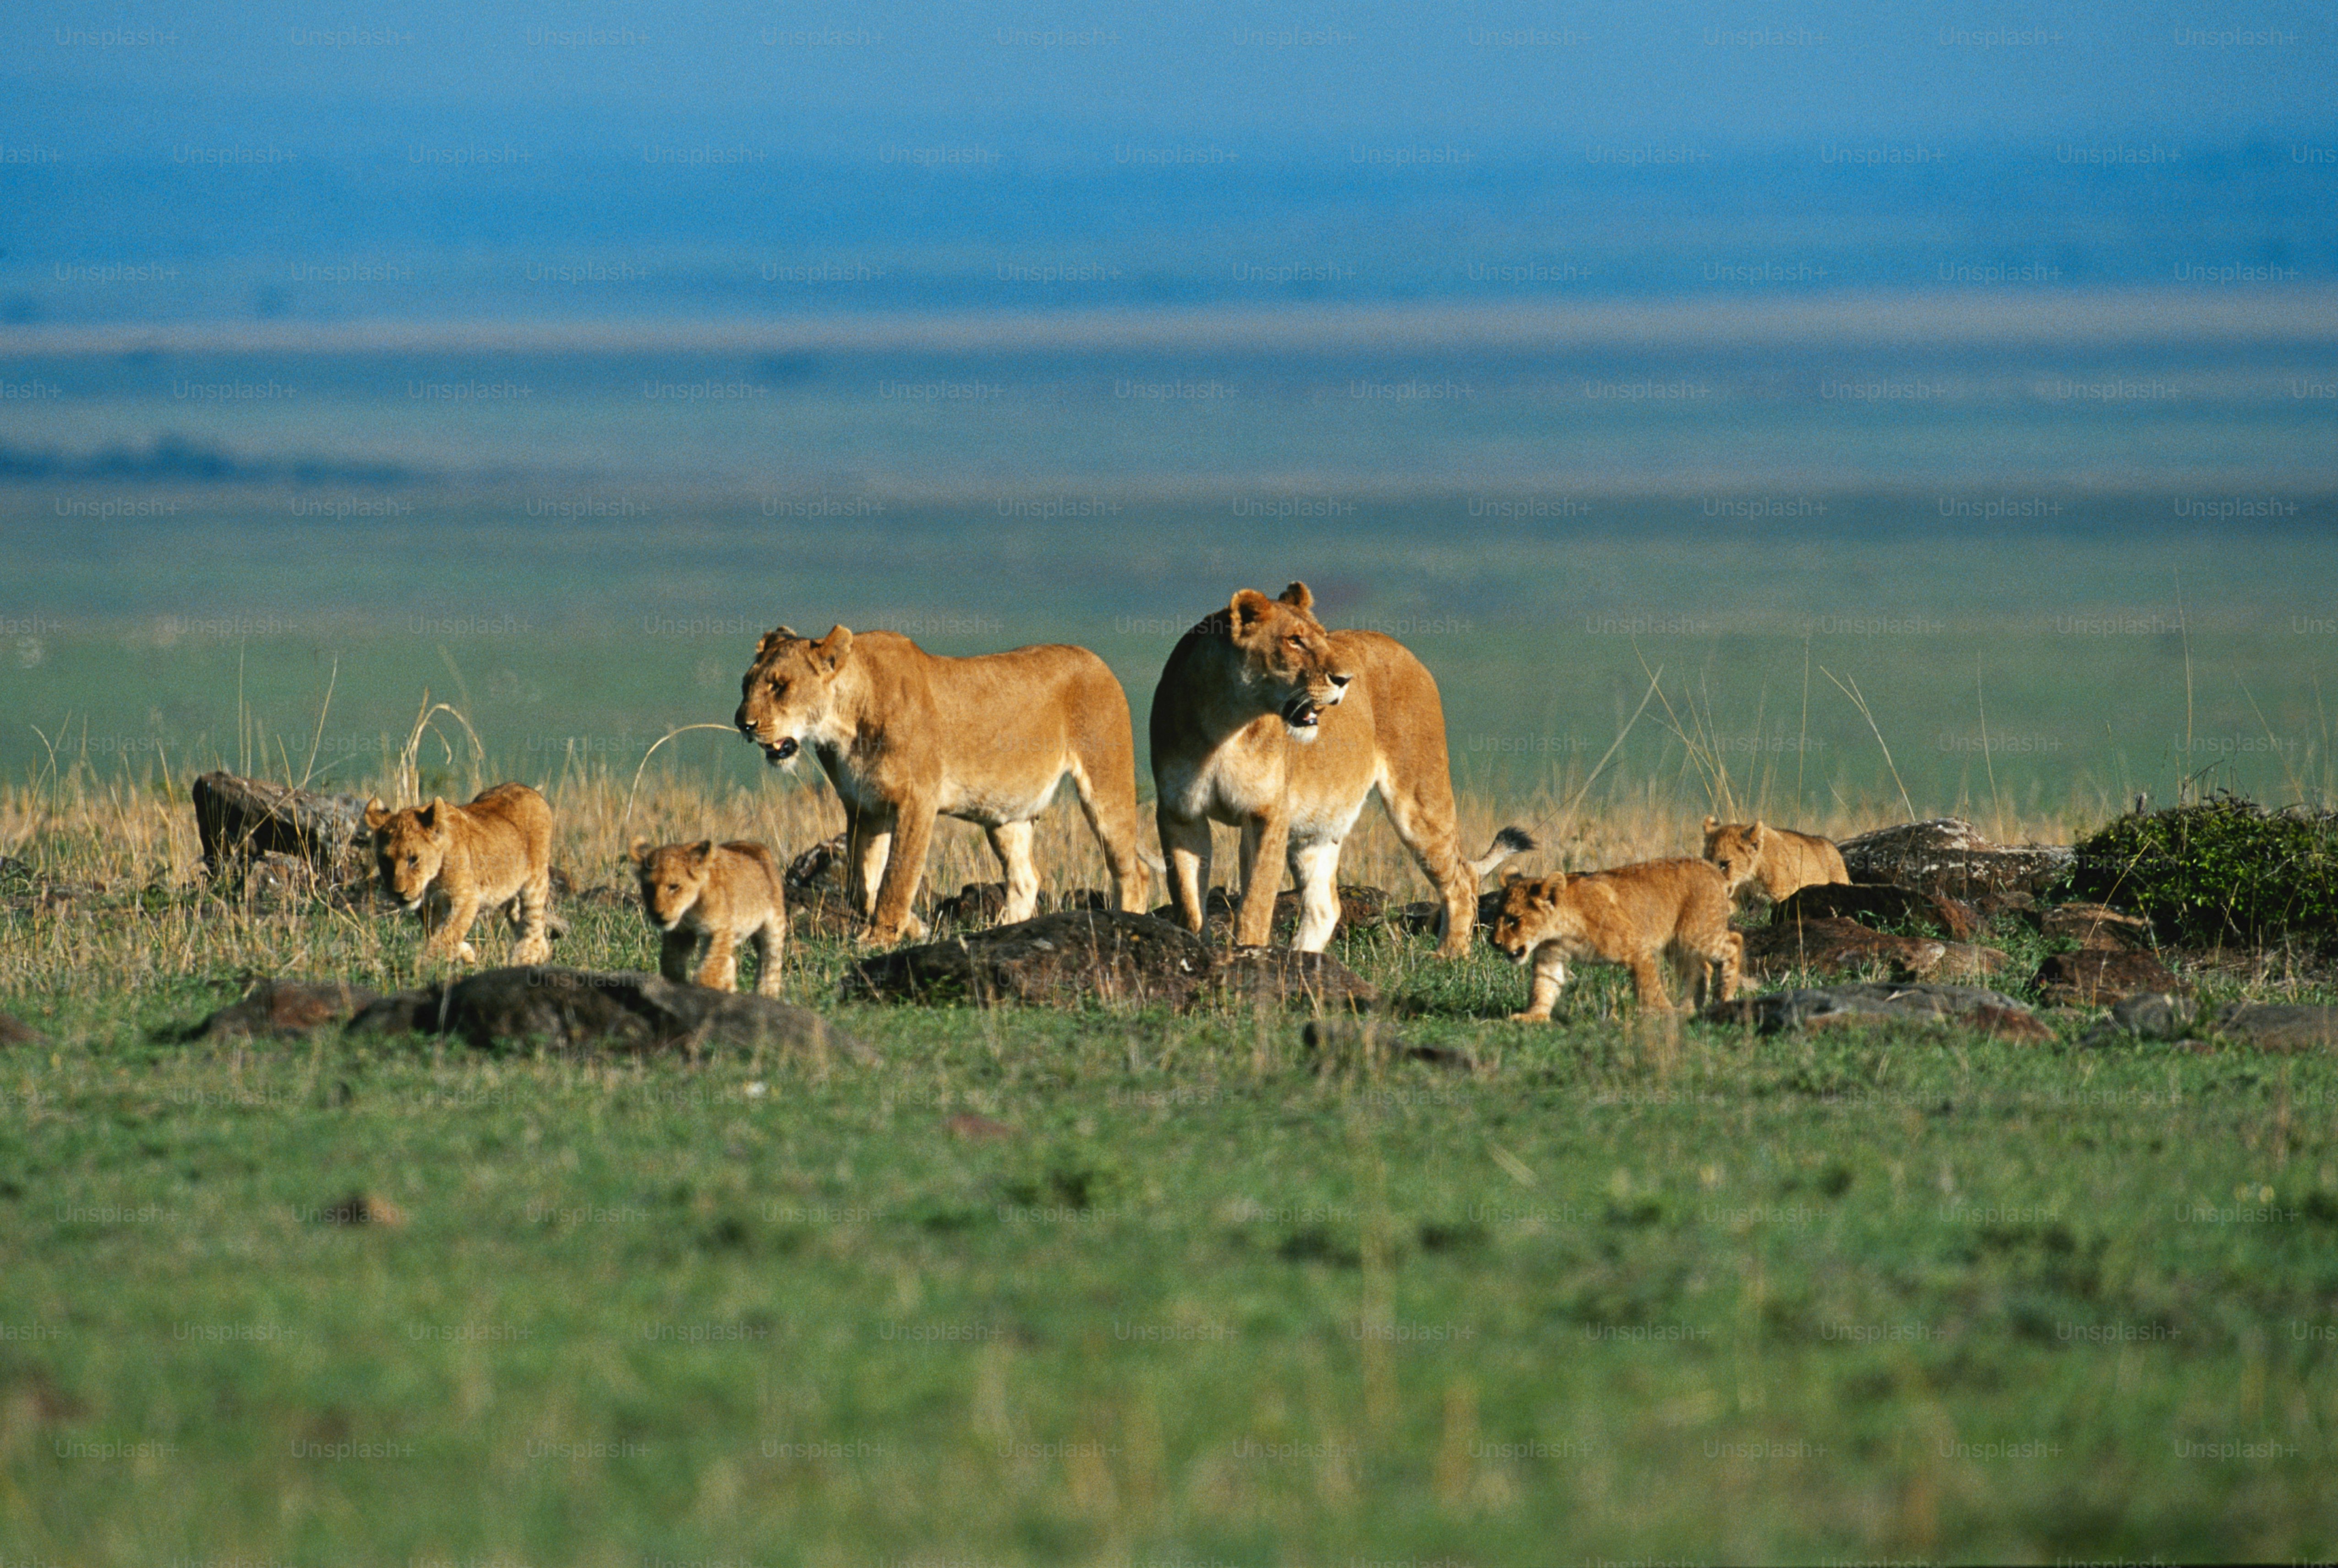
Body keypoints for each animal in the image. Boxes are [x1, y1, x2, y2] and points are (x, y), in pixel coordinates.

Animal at [362, 782, 553, 966]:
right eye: (386, 860)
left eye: (413, 859)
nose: (398, 893)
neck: (431, 881)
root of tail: (531, 791)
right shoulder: (429, 905)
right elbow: (438, 932)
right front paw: (465, 954)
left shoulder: (465, 898)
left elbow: (447, 935)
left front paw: (426, 965)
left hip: (535, 881)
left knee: (533, 922)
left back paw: (526, 956)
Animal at [629, 838, 787, 995]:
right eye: (648, 887)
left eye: (674, 887)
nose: (656, 913)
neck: (690, 909)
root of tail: (755, 844)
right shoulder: (681, 933)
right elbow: (671, 963)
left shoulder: (720, 931)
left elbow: (710, 970)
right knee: (730, 962)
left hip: (773, 929)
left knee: (770, 965)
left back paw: (766, 994)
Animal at [735, 624, 1153, 945]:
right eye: (746, 684)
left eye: (780, 686)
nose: (744, 724)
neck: (844, 724)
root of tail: (1095, 659)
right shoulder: (864, 808)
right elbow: (863, 882)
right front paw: (913, 928)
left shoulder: (917, 801)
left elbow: (898, 876)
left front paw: (880, 938)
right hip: (1005, 815)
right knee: (1026, 879)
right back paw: (1003, 932)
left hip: (1106, 786)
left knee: (1132, 870)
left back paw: (1127, 924)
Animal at [1149, 582, 1532, 955]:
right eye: (1294, 640)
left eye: (1321, 636)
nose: (1345, 679)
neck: (1227, 724)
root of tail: (1402, 649)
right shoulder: (1179, 813)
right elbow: (1188, 902)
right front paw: (1197, 949)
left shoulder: (1266, 815)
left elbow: (1256, 903)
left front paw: (1249, 955)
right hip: (1317, 825)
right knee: (1326, 907)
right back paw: (1303, 959)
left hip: (1420, 801)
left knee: (1461, 879)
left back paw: (1448, 956)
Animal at [1491, 859, 1742, 1020]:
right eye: (1498, 916)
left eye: (1514, 920)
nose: (1495, 943)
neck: (1561, 930)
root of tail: (1712, 869)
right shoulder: (1551, 956)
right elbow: (1544, 986)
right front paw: (1534, 1016)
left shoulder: (1637, 948)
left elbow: (1650, 987)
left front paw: (1664, 1013)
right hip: (1678, 946)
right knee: (1700, 969)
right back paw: (1689, 1009)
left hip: (1695, 936)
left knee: (1734, 942)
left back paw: (1724, 997)